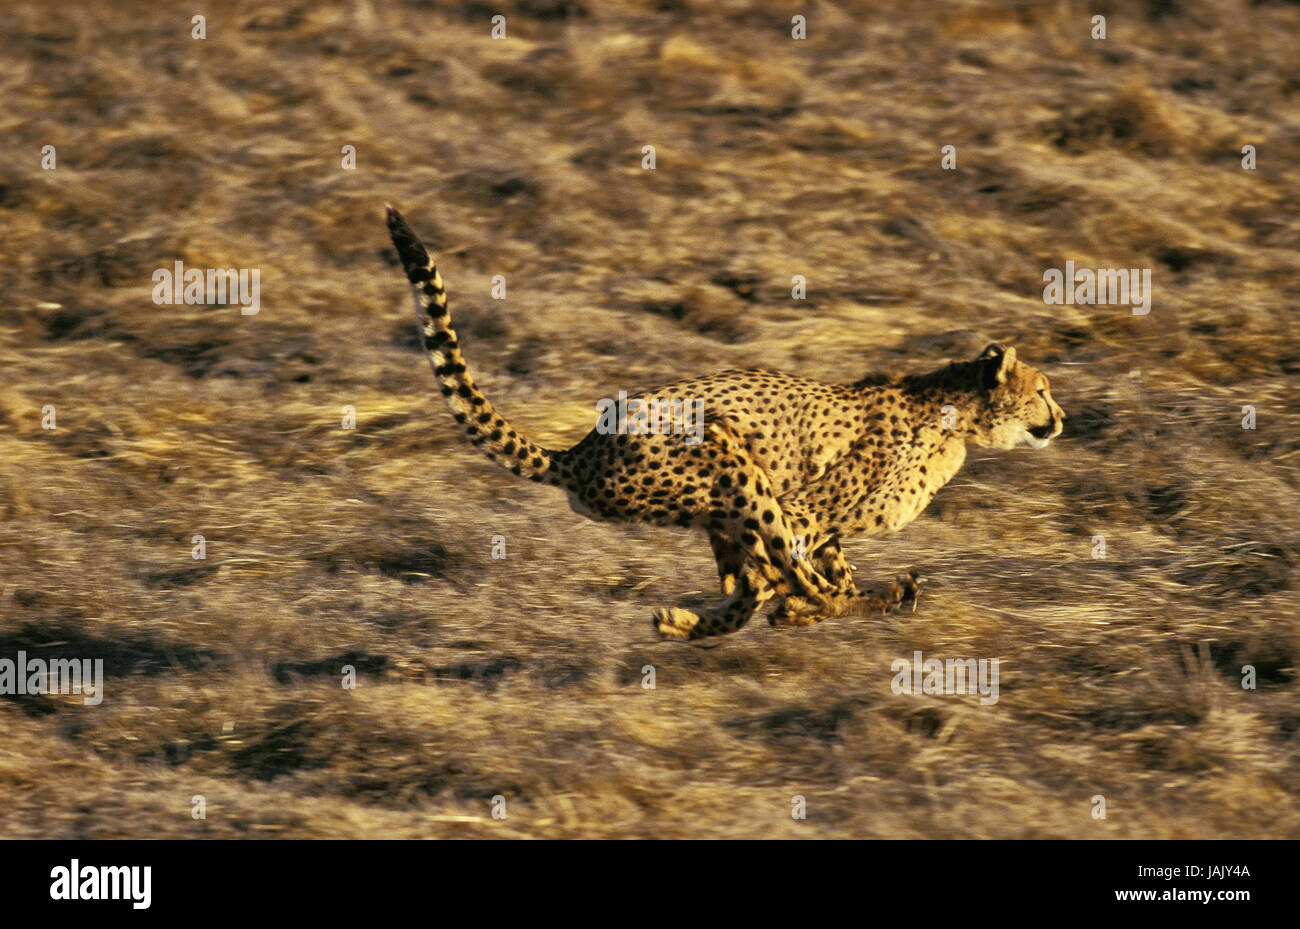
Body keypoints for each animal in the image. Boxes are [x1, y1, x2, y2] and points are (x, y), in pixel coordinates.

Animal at [385, 205, 1066, 641]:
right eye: (1042, 390)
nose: (1062, 417)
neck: (960, 418)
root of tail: (579, 452)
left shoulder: (815, 526)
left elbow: (786, 575)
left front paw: (706, 621)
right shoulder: (797, 510)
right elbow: (787, 578)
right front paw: (809, 609)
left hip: (713, 501)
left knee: (755, 578)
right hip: (721, 449)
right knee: (792, 577)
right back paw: (877, 599)